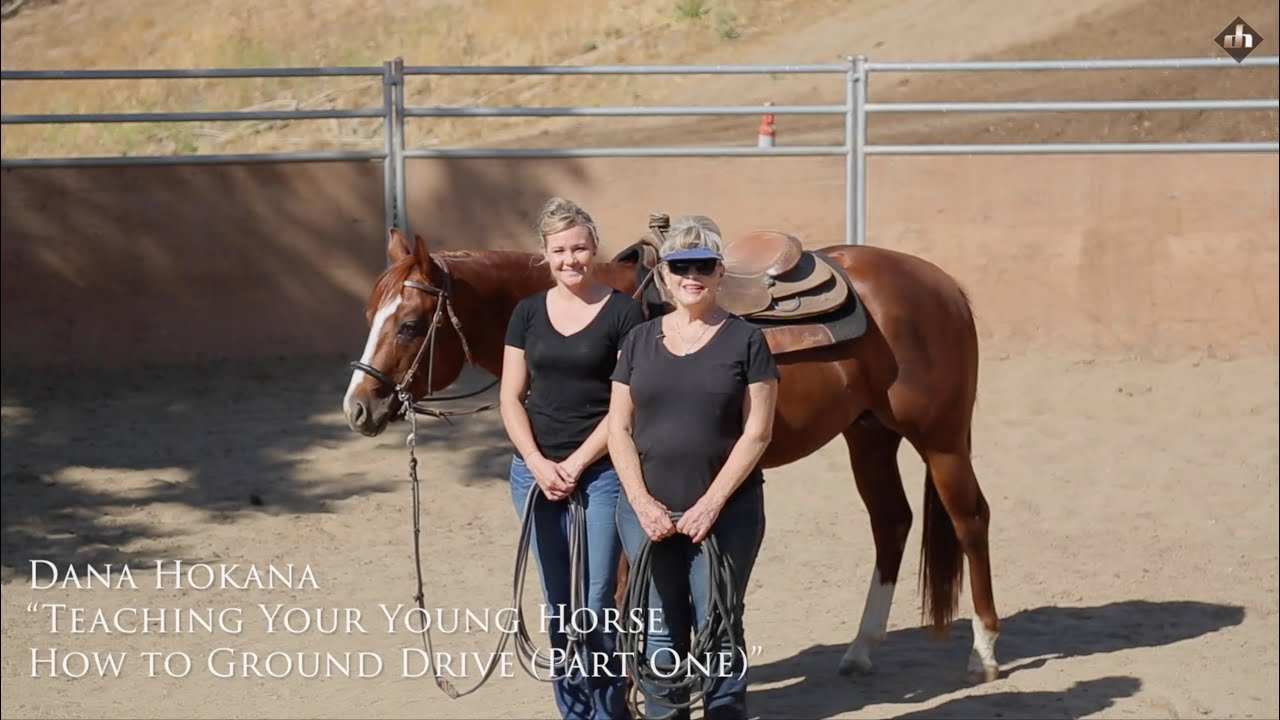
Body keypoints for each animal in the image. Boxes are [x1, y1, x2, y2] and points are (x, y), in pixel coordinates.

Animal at [342, 225, 1001, 684]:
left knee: (970, 519)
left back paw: (984, 653)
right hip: (869, 434)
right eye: (368, 315)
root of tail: (939, 283)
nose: (358, 407)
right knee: (892, 522)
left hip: (941, 437)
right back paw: (862, 651)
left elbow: (618, 589)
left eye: (409, 324)